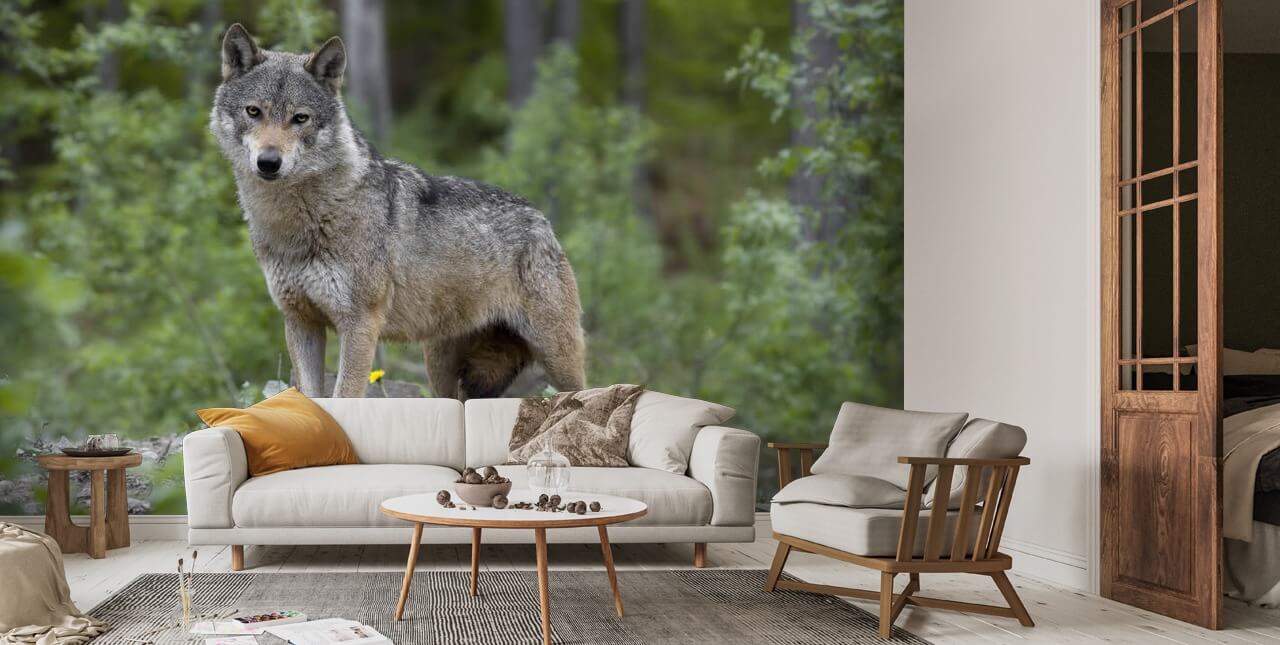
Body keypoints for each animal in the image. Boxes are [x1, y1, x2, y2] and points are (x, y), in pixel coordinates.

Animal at [209, 24, 586, 399]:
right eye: (254, 112)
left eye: (300, 118)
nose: (269, 162)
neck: (301, 222)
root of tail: (541, 219)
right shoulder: (300, 321)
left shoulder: (360, 325)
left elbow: (344, 397)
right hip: (442, 367)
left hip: (558, 361)